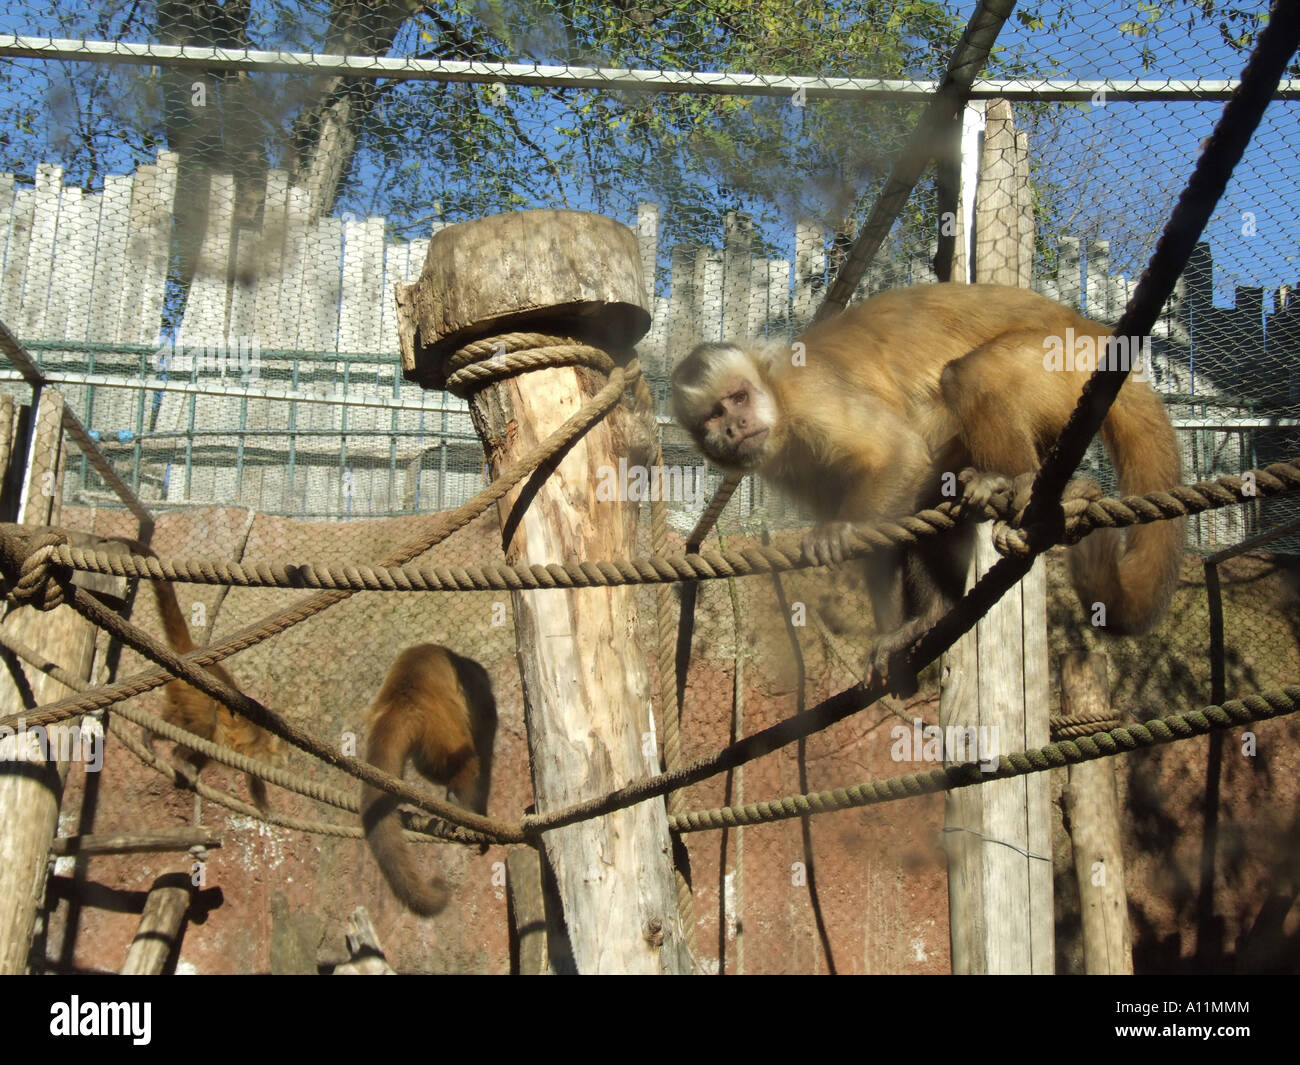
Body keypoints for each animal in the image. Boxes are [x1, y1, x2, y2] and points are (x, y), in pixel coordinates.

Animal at [671, 282, 1184, 691]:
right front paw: (897, 643)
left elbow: (896, 452)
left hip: (1060, 358)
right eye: (713, 415)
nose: (734, 426)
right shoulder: (782, 462)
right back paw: (932, 615)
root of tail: (1091, 329)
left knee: (967, 376)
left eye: (739, 397)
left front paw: (838, 533)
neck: (776, 398)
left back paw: (1019, 484)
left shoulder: (809, 392)